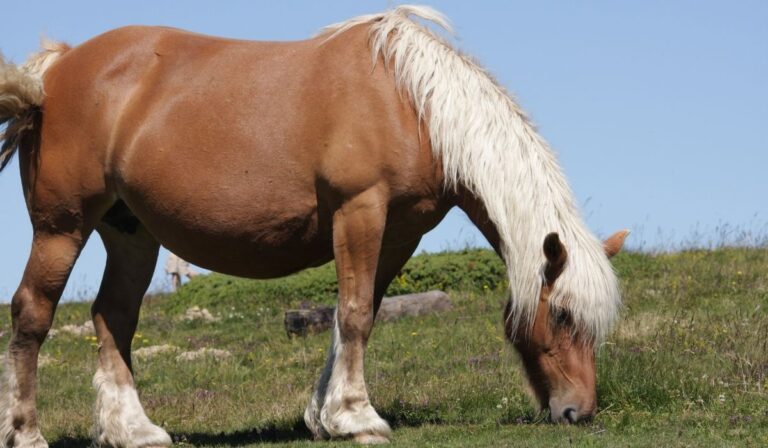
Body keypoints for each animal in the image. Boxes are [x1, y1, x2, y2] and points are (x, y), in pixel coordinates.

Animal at [0, 5, 627, 447]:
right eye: (562, 314)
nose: (578, 410)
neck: (410, 105)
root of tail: (57, 67)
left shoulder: (399, 232)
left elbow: (357, 314)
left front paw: (324, 417)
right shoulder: (360, 211)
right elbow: (353, 314)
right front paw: (358, 417)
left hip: (131, 234)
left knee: (114, 318)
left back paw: (133, 431)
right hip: (62, 227)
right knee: (33, 312)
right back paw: (27, 432)